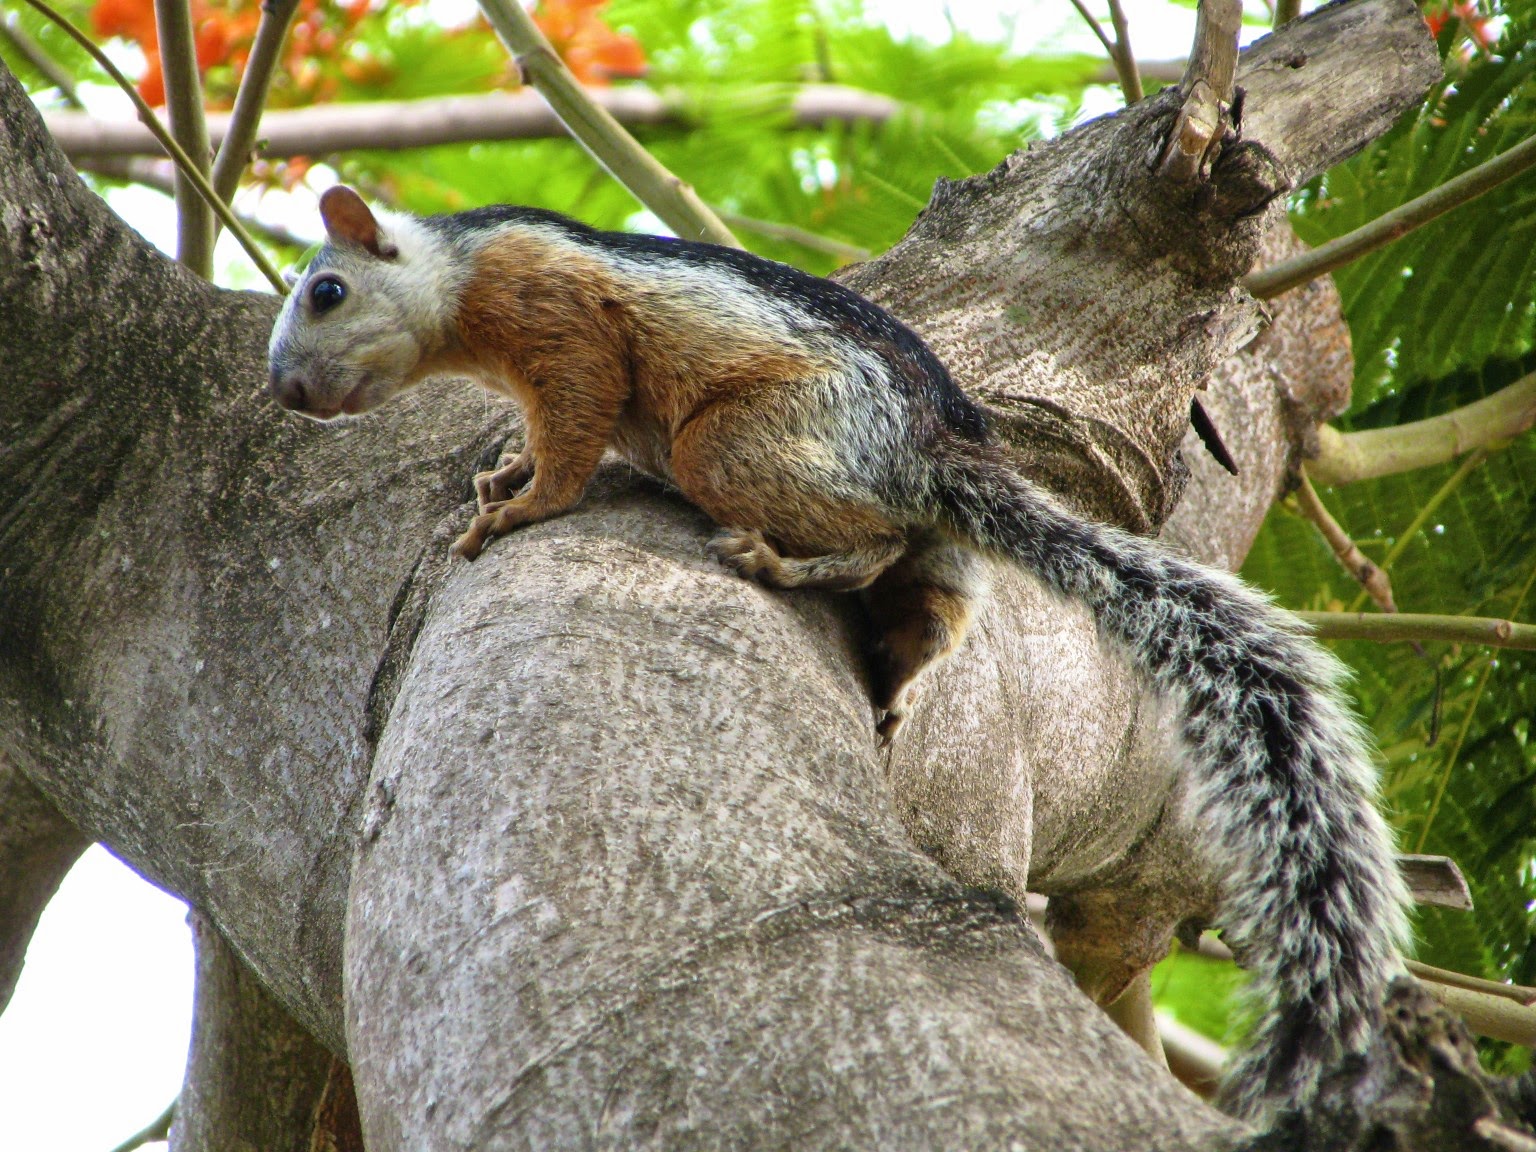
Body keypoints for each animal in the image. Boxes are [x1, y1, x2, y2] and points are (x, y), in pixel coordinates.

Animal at [268, 185, 1410, 1121]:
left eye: (326, 290)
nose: (284, 395)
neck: (460, 275)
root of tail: (934, 454)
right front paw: (502, 475)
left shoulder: (558, 322)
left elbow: (575, 428)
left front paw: (521, 504)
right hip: (931, 554)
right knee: (923, 608)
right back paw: (895, 682)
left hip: (738, 443)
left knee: (867, 540)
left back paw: (779, 561)